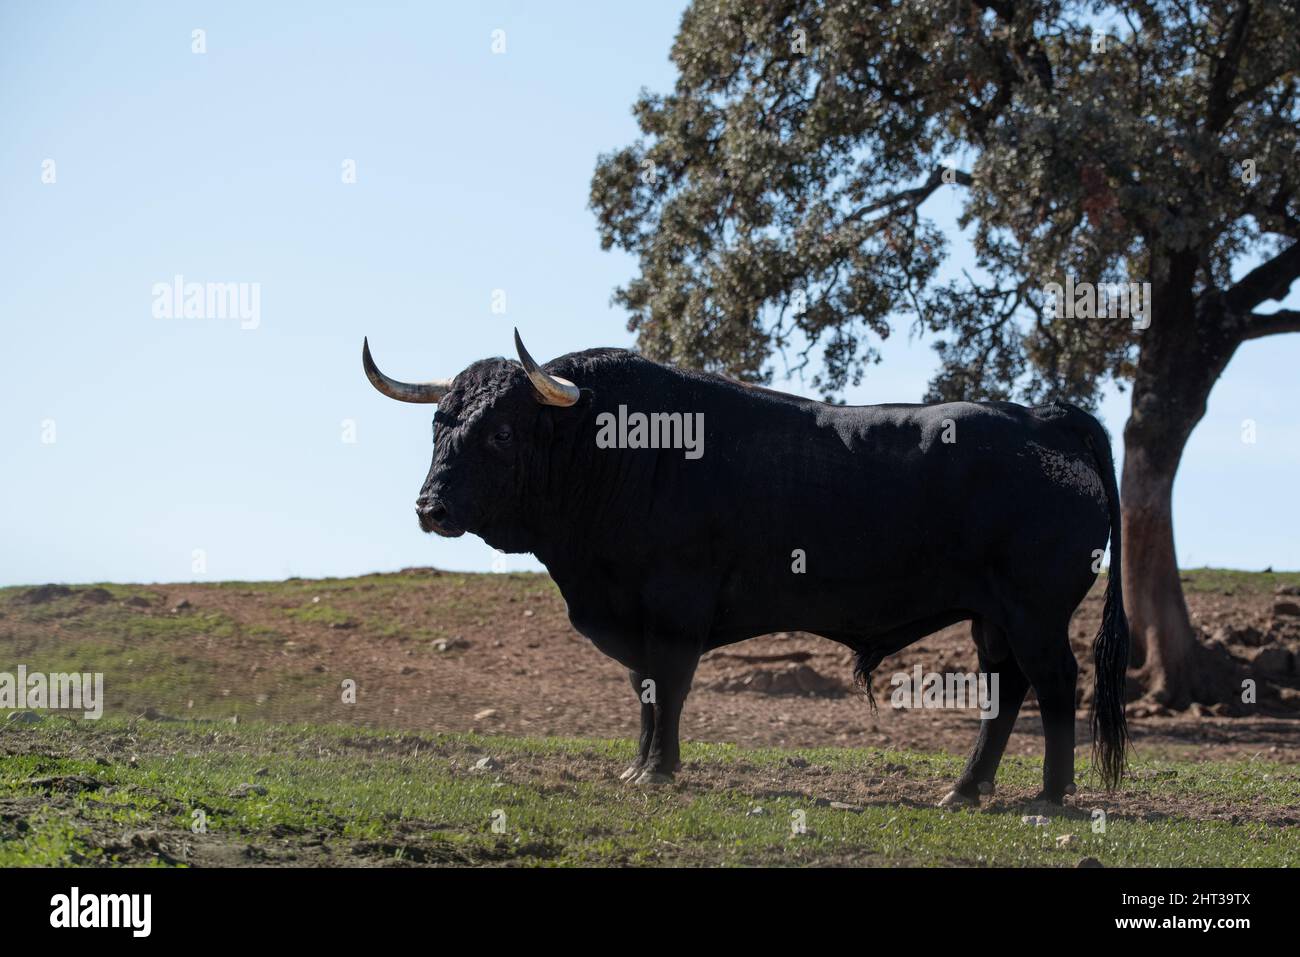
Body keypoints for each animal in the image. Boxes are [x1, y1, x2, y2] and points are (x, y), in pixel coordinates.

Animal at [362, 330, 1129, 805]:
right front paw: (639, 764)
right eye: (440, 425)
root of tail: (1042, 417)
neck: (615, 452)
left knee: (1055, 684)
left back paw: (1051, 794)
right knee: (1005, 689)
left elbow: (668, 686)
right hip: (993, 616)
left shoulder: (674, 606)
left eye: (500, 431)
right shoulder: (632, 615)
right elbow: (643, 689)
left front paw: (659, 771)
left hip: (1035, 610)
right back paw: (966, 789)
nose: (430, 506)